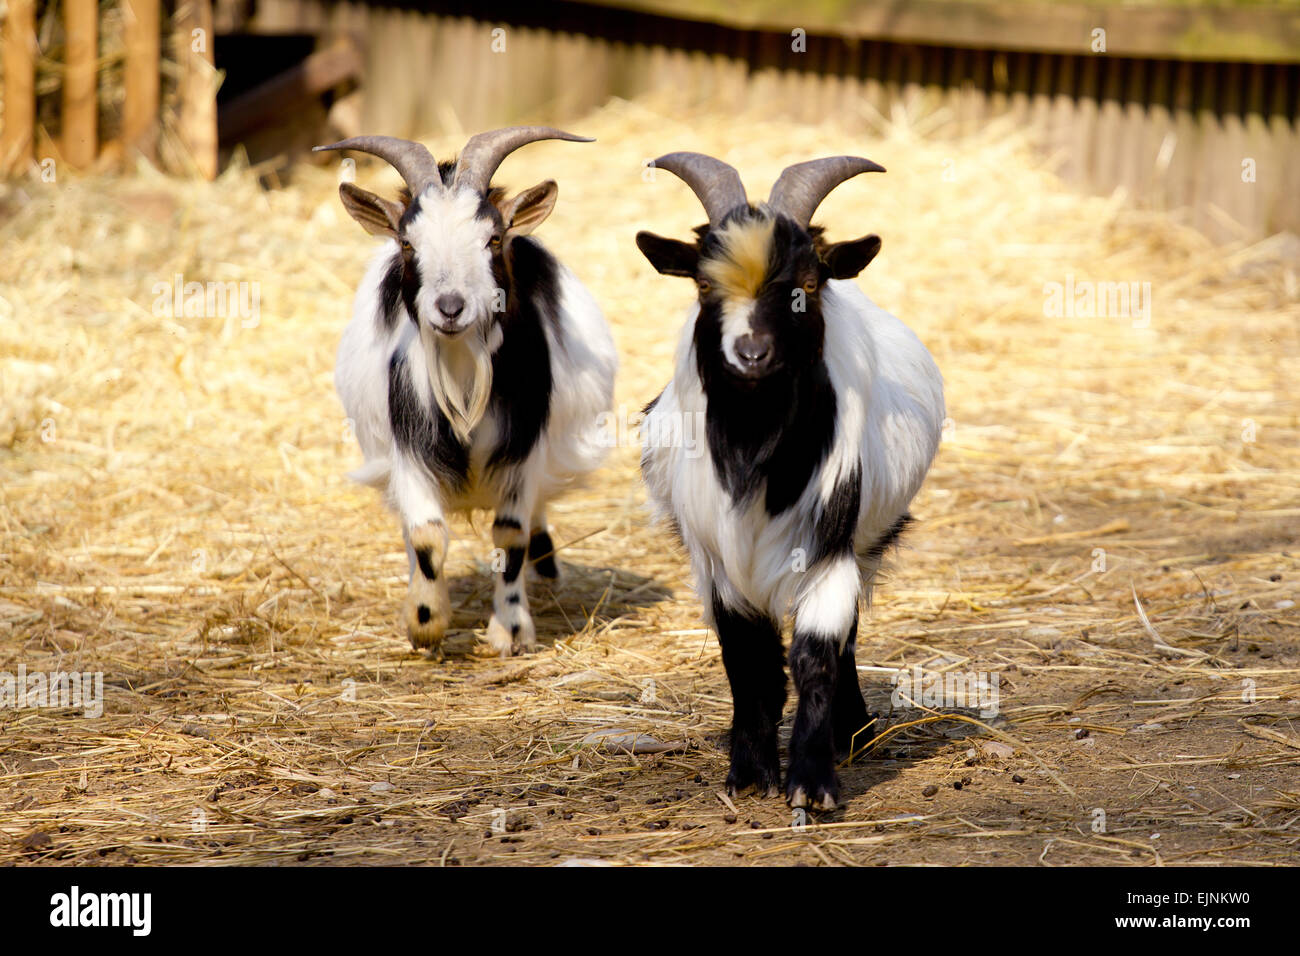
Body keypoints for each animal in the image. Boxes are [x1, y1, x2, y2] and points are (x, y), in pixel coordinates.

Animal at [317, 127, 617, 658]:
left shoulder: (523, 452)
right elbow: (426, 535)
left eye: (493, 238)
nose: (450, 307)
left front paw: (511, 632)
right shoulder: (408, 452)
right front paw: (425, 621)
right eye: (407, 242)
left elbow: (511, 535)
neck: (461, 374)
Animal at [636, 153, 945, 808]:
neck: (755, 454)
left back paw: (853, 733)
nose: (751, 352)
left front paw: (811, 781)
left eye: (806, 285)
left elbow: (816, 653)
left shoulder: (830, 547)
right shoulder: (717, 561)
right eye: (704, 285)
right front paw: (751, 772)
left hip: (870, 542)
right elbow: (748, 661)